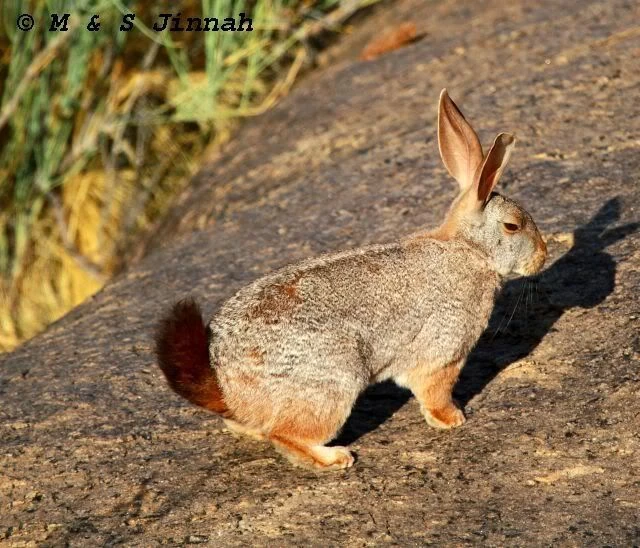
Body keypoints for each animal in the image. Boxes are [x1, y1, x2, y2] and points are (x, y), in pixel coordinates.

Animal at [155, 90, 547, 470]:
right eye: (512, 226)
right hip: (335, 381)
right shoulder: (443, 354)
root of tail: (225, 381)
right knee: (286, 436)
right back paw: (336, 458)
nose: (543, 255)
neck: (470, 249)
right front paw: (452, 419)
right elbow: (435, 391)